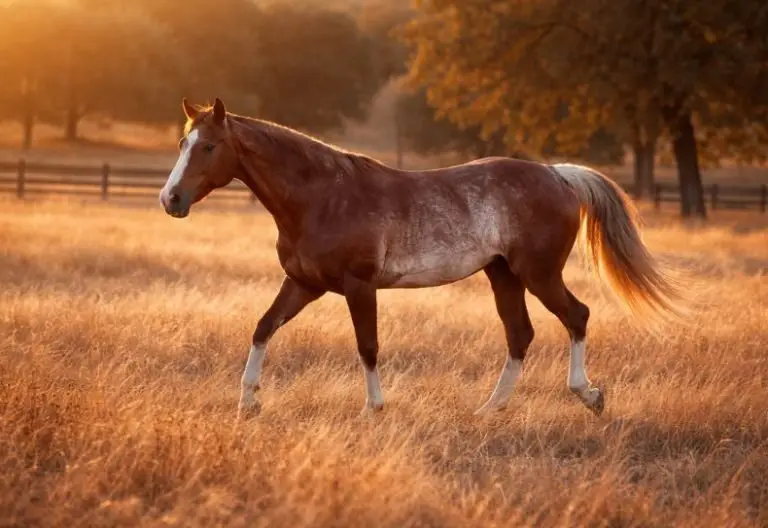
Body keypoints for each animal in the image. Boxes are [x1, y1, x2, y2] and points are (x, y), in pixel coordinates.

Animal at [159, 97, 683, 419]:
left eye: (209, 146)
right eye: (182, 143)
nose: (171, 199)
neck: (322, 196)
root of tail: (557, 174)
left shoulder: (358, 286)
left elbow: (367, 346)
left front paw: (373, 409)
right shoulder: (304, 284)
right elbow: (263, 328)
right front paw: (248, 403)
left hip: (539, 273)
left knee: (577, 315)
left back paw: (589, 395)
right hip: (503, 275)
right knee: (520, 335)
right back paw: (489, 410)